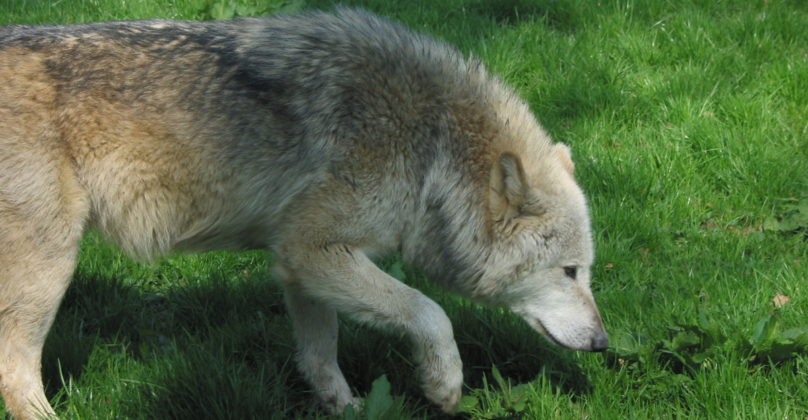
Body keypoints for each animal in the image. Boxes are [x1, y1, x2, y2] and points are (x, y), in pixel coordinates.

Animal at [0, 8, 608, 419]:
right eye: (569, 271)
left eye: (587, 274)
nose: (605, 345)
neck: (432, 148)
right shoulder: (312, 249)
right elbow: (431, 312)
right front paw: (445, 385)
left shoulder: (301, 268)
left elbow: (321, 356)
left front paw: (347, 408)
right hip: (51, 267)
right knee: (15, 368)